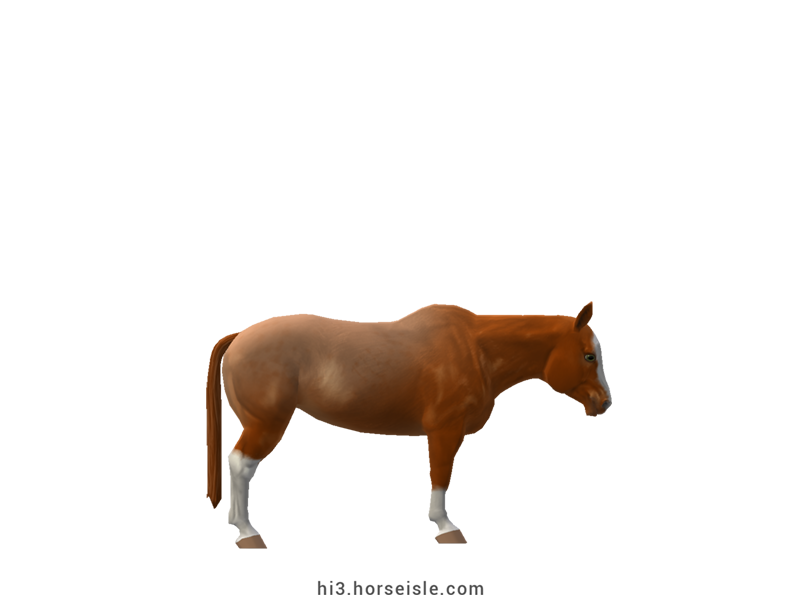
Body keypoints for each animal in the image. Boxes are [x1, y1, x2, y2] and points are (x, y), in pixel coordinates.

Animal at [206, 303, 611, 541]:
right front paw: (443, 525)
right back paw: (246, 531)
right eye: (589, 355)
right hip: (263, 422)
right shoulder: (445, 429)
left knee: (233, 462)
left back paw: (235, 526)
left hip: (248, 423)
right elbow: (441, 473)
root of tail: (239, 338)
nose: (603, 402)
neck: (475, 348)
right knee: (240, 465)